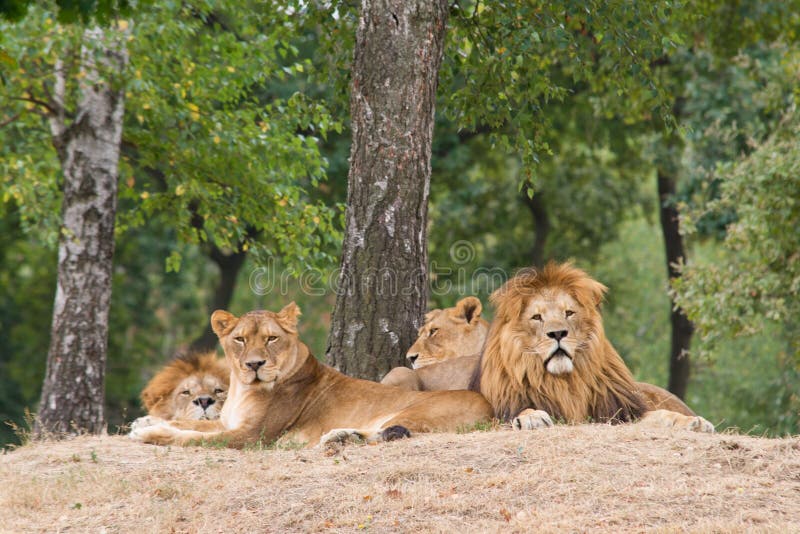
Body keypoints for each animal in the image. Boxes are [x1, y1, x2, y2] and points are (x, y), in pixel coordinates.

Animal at [129, 303, 493, 448]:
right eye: (240, 339)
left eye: (271, 339)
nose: (254, 365)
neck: (241, 389)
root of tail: (488, 405)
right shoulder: (230, 421)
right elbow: (194, 423)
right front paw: (145, 421)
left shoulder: (252, 436)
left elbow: (192, 436)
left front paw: (149, 433)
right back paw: (339, 437)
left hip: (411, 411)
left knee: (393, 433)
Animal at [468, 262, 713, 432]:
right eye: (537, 317)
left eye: (569, 313)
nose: (558, 333)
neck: (563, 382)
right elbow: (522, 410)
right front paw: (532, 417)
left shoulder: (620, 413)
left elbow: (661, 415)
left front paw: (694, 422)